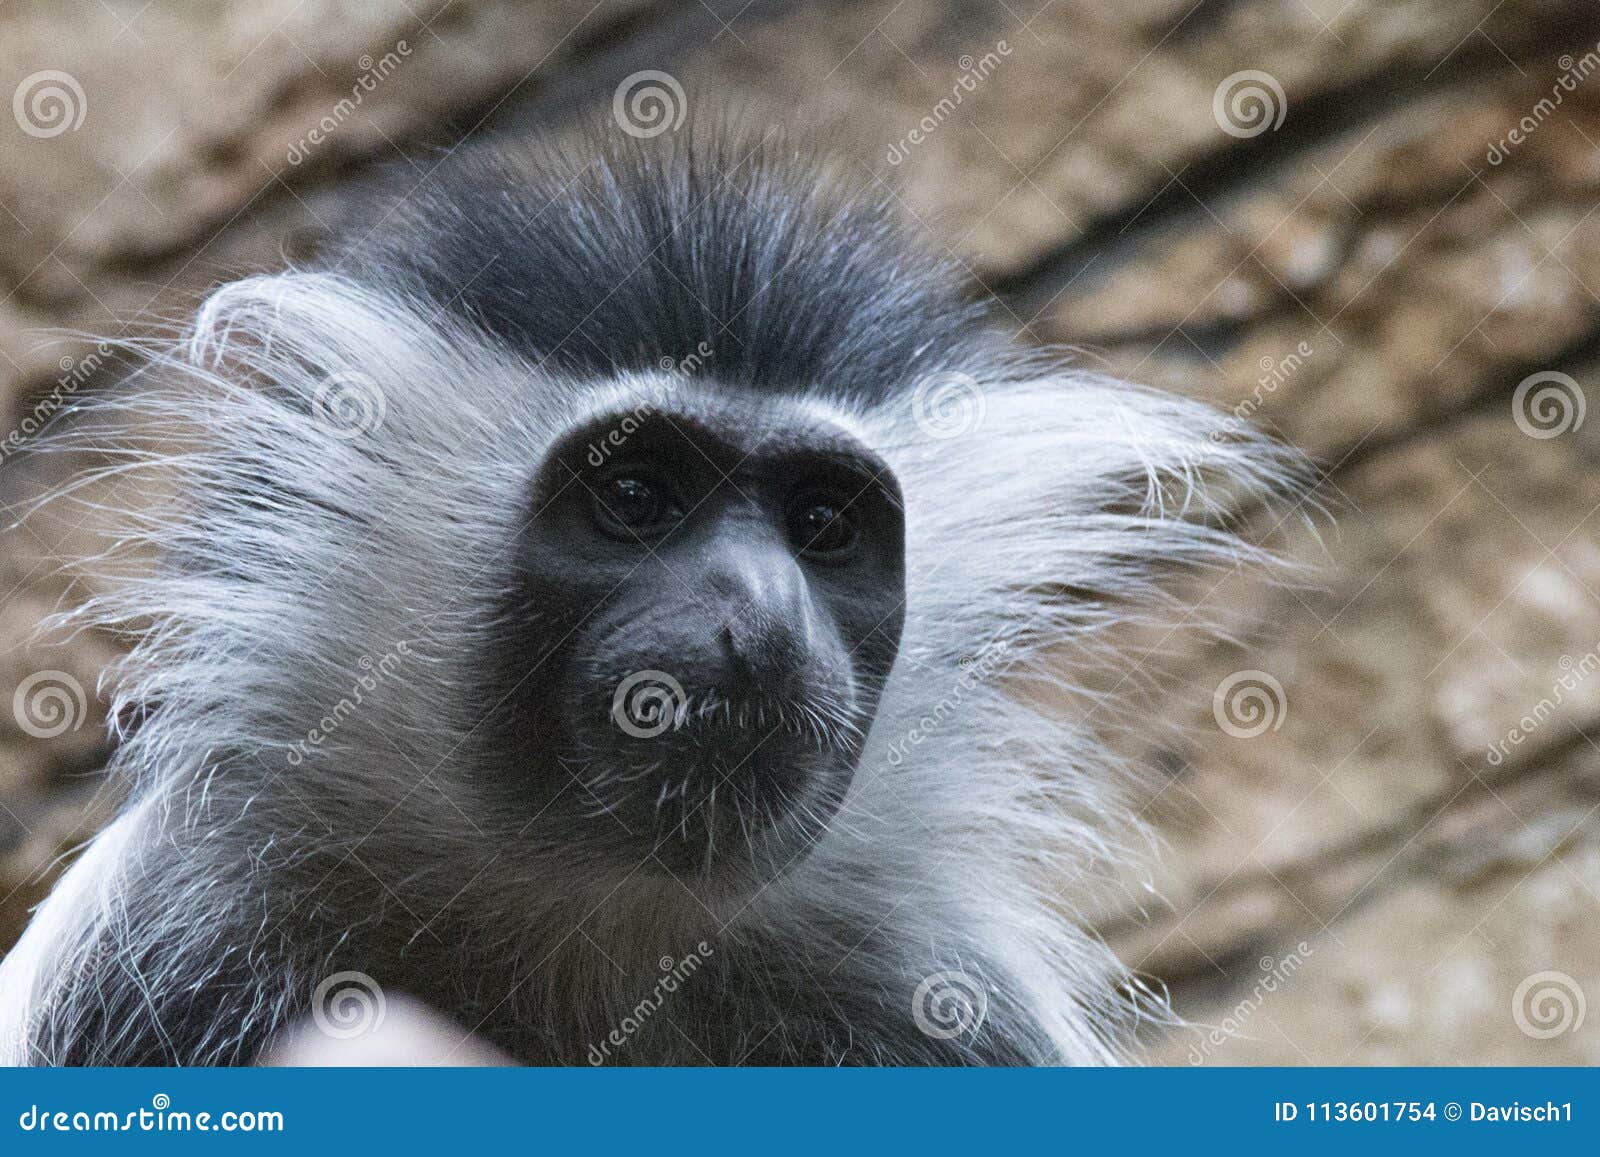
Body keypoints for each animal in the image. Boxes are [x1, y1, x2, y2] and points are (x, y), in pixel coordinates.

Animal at [0, 124, 1302, 1066]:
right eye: (633, 493)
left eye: (823, 528)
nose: (760, 616)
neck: (597, 931)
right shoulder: (165, 947)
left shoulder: (944, 1009)